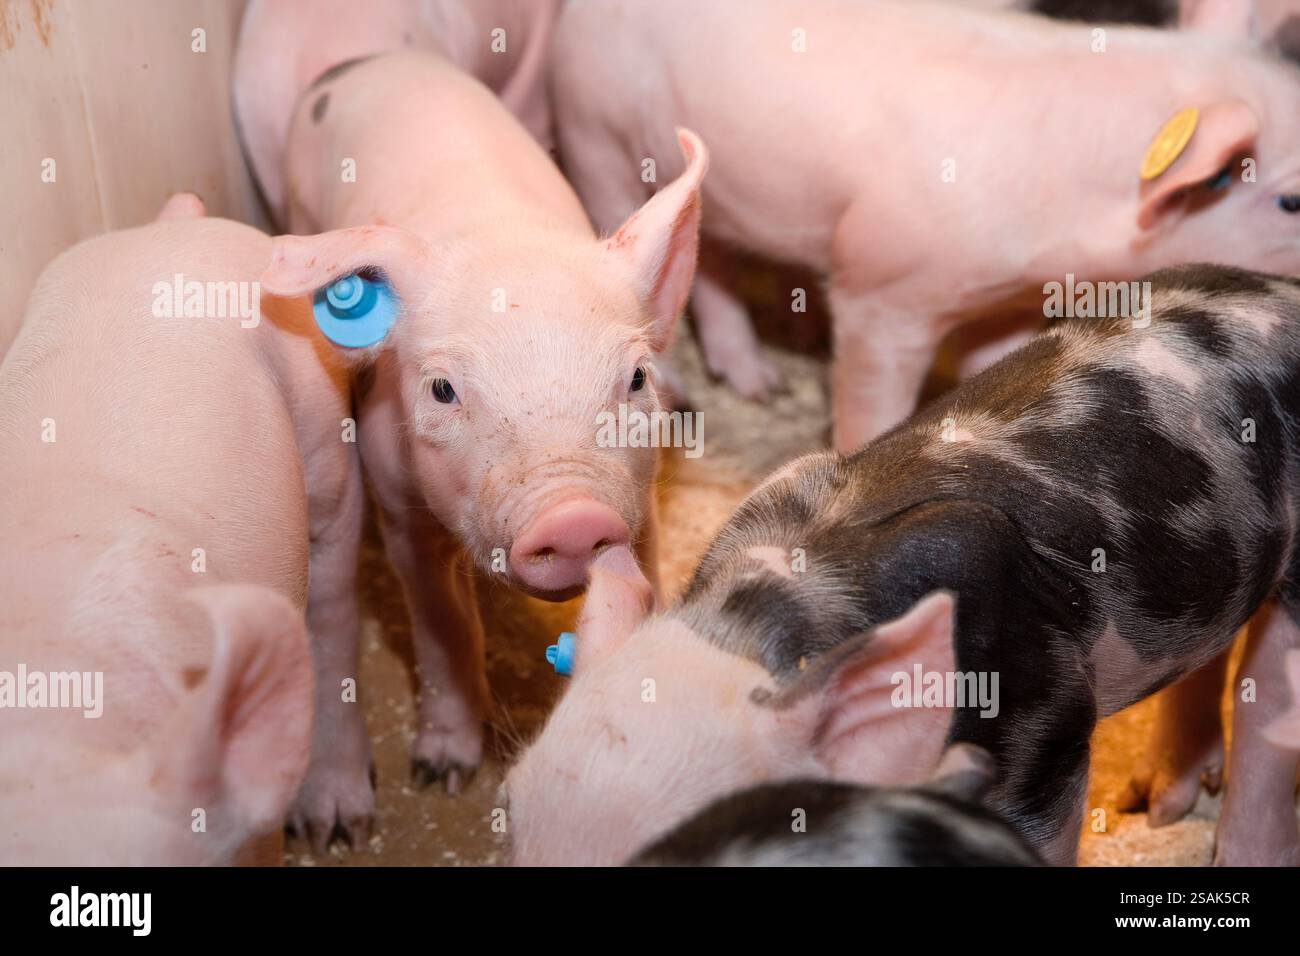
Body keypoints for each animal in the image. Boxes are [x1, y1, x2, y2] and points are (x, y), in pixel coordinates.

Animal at [250, 49, 708, 846]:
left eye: (637, 377)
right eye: (441, 389)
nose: (573, 514)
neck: (502, 235)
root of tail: (363, 61)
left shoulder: (641, 498)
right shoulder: (398, 497)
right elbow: (442, 621)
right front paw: (440, 773)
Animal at [552, 0, 1300, 450]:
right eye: (1291, 202)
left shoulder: (1000, 298)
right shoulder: (880, 288)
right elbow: (871, 396)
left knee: (713, 261)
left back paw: (761, 385)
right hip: (593, 128)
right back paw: (685, 392)